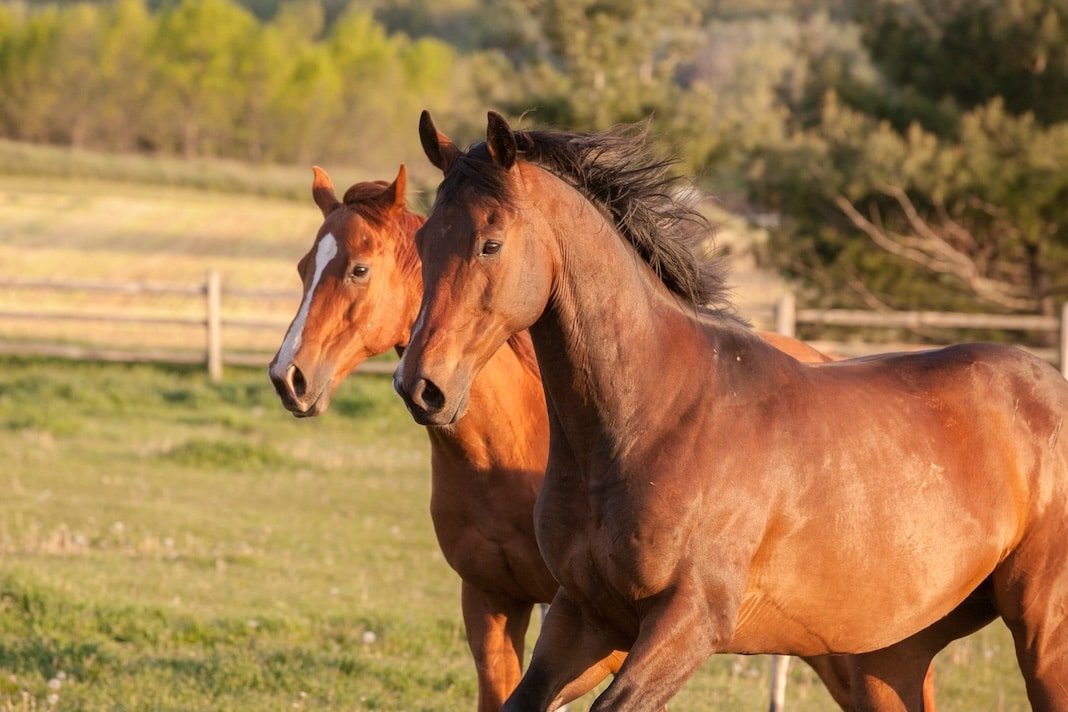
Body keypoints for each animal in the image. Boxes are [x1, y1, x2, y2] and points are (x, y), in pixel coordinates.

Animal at [266, 166, 903, 710]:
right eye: (301, 268)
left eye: (358, 269)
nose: (287, 376)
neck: (502, 454)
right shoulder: (492, 599)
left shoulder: (606, 622)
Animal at [395, 110, 1068, 711]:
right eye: (424, 241)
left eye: (490, 243)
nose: (420, 387)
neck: (652, 420)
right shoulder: (584, 616)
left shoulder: (689, 622)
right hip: (891, 657)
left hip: (1041, 635)